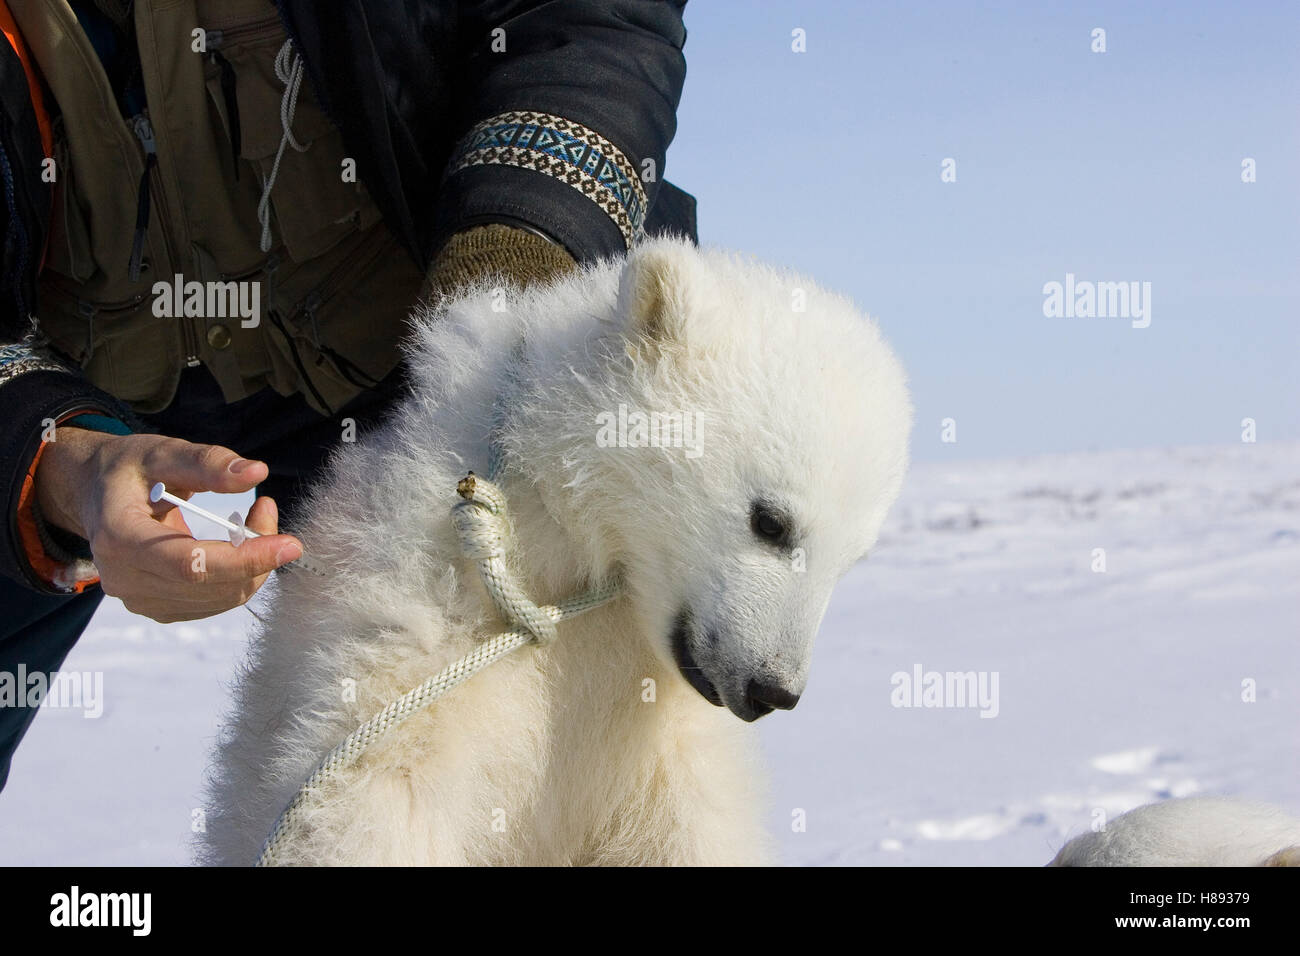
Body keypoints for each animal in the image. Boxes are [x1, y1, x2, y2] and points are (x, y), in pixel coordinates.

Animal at [197, 235, 912, 866]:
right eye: (771, 522)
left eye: (852, 559)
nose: (774, 690)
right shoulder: (411, 637)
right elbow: (372, 801)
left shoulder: (658, 737)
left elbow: (695, 827)